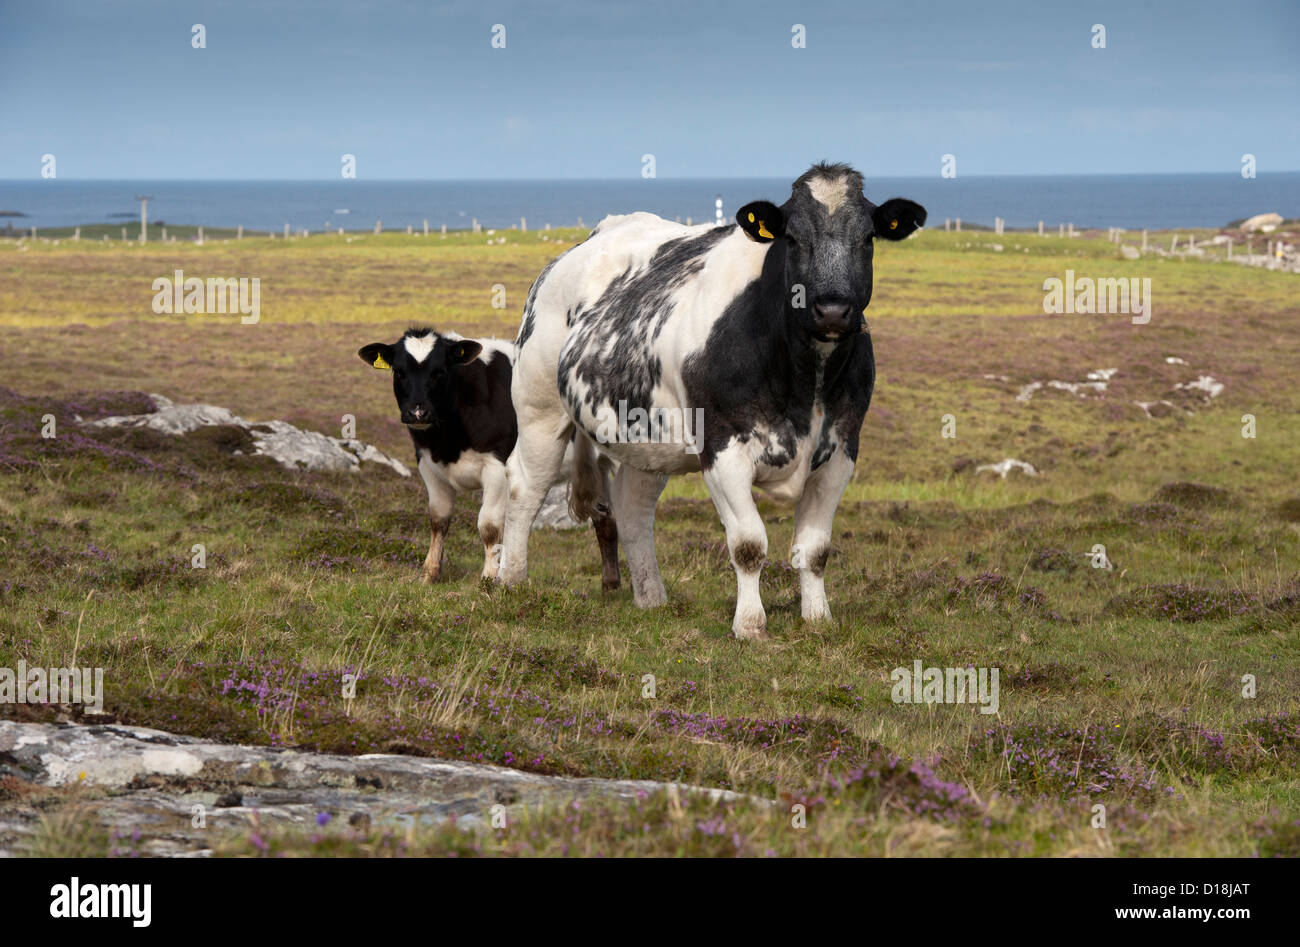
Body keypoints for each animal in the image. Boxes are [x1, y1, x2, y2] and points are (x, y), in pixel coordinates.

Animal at [357, 327, 620, 590]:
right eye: (399, 371)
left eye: (440, 371)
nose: (418, 412)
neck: (448, 442)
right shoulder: (428, 464)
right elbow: (438, 520)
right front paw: (429, 574)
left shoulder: (497, 466)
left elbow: (489, 526)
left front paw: (488, 577)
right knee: (605, 519)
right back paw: (610, 585)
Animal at [497, 163, 925, 638]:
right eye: (792, 237)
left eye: (867, 237)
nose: (832, 309)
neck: (803, 381)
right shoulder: (723, 447)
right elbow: (749, 544)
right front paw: (750, 625)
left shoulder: (842, 449)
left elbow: (815, 549)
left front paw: (818, 618)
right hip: (539, 407)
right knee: (525, 487)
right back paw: (511, 580)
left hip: (647, 436)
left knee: (632, 508)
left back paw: (651, 598)